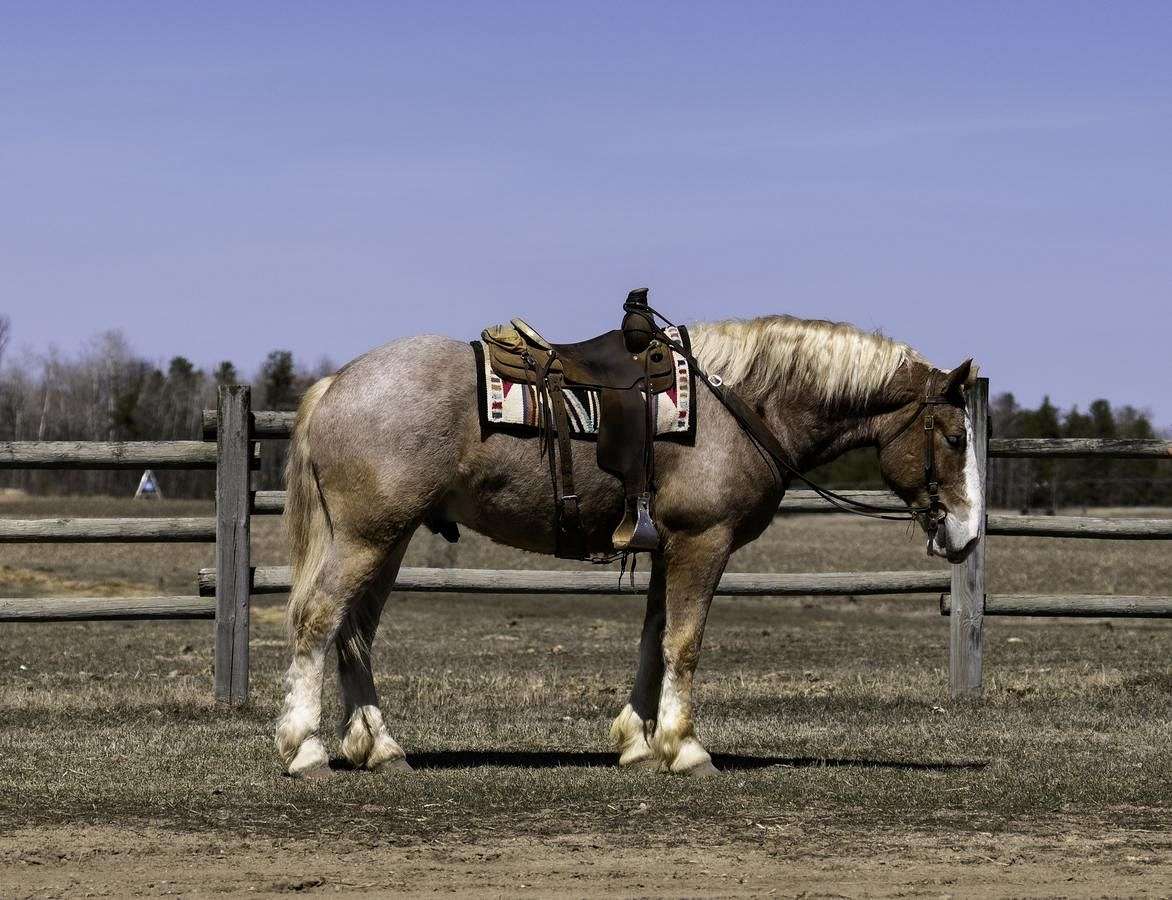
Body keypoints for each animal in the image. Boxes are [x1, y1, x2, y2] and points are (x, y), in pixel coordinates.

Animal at [274, 313, 982, 778]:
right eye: (954, 437)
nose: (968, 532)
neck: (741, 405)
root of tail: (337, 383)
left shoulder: (668, 547)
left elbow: (653, 640)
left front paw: (639, 742)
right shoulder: (703, 542)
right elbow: (684, 643)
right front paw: (685, 747)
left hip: (386, 540)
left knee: (354, 633)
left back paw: (379, 747)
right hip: (367, 537)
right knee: (319, 620)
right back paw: (306, 750)